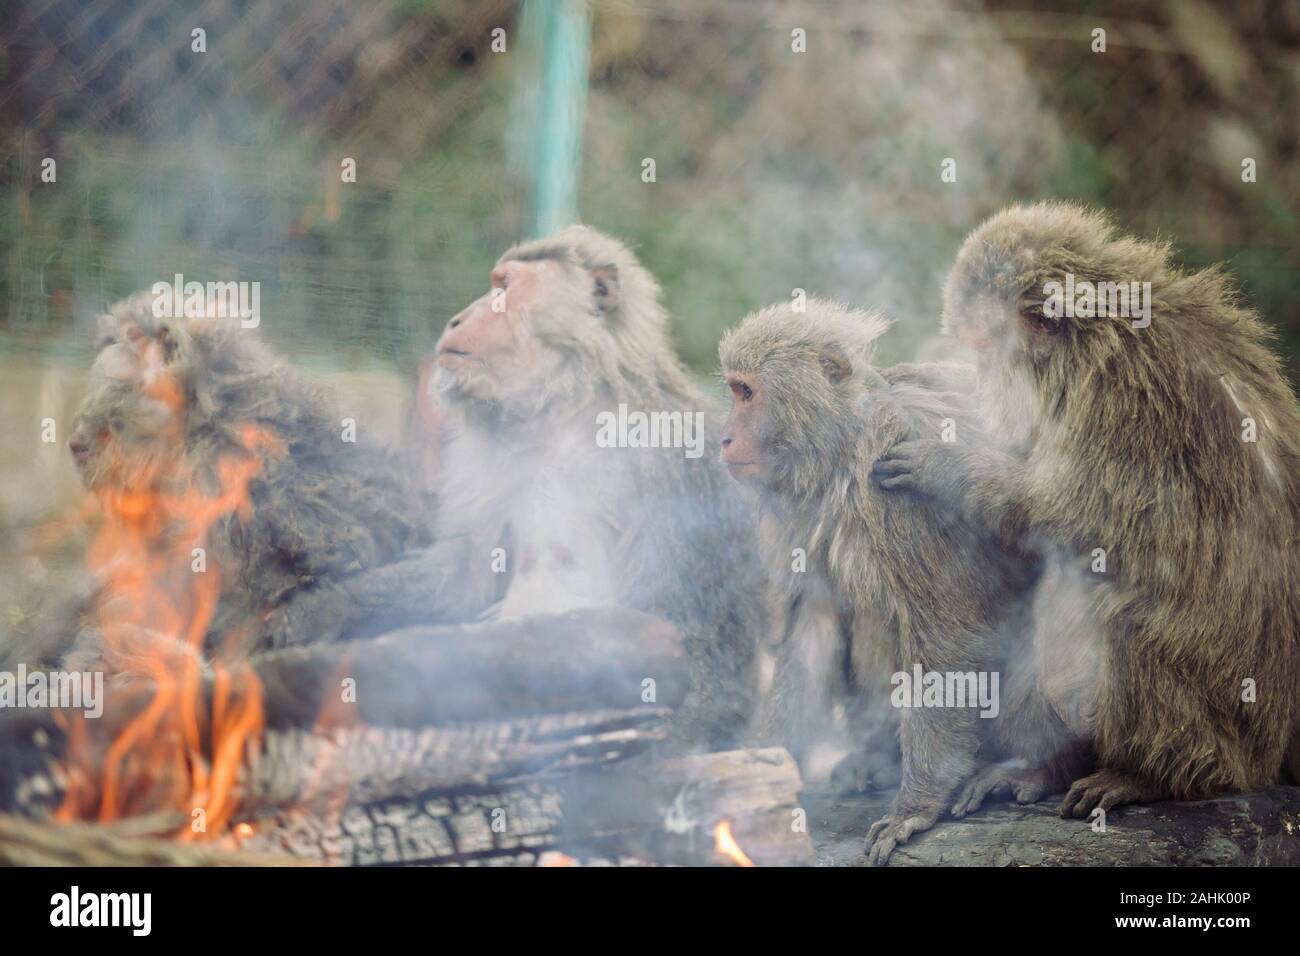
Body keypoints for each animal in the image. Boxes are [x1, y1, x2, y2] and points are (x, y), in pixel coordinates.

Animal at [260, 226, 765, 749]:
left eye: (504, 288)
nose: (457, 318)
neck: (571, 407)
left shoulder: (670, 459)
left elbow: (687, 630)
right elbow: (466, 576)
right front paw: (321, 610)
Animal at [718, 298, 1040, 864]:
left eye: (747, 392)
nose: (724, 438)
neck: (842, 449)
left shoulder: (896, 485)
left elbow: (949, 636)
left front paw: (918, 805)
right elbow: (814, 627)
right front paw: (759, 789)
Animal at [874, 202, 1300, 819]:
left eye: (984, 346)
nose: (981, 373)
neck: (1089, 333)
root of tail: (1272, 750)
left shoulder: (1116, 396)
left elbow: (1066, 511)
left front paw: (948, 466)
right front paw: (931, 380)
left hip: (1234, 728)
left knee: (1102, 602)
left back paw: (1150, 775)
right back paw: (1044, 767)